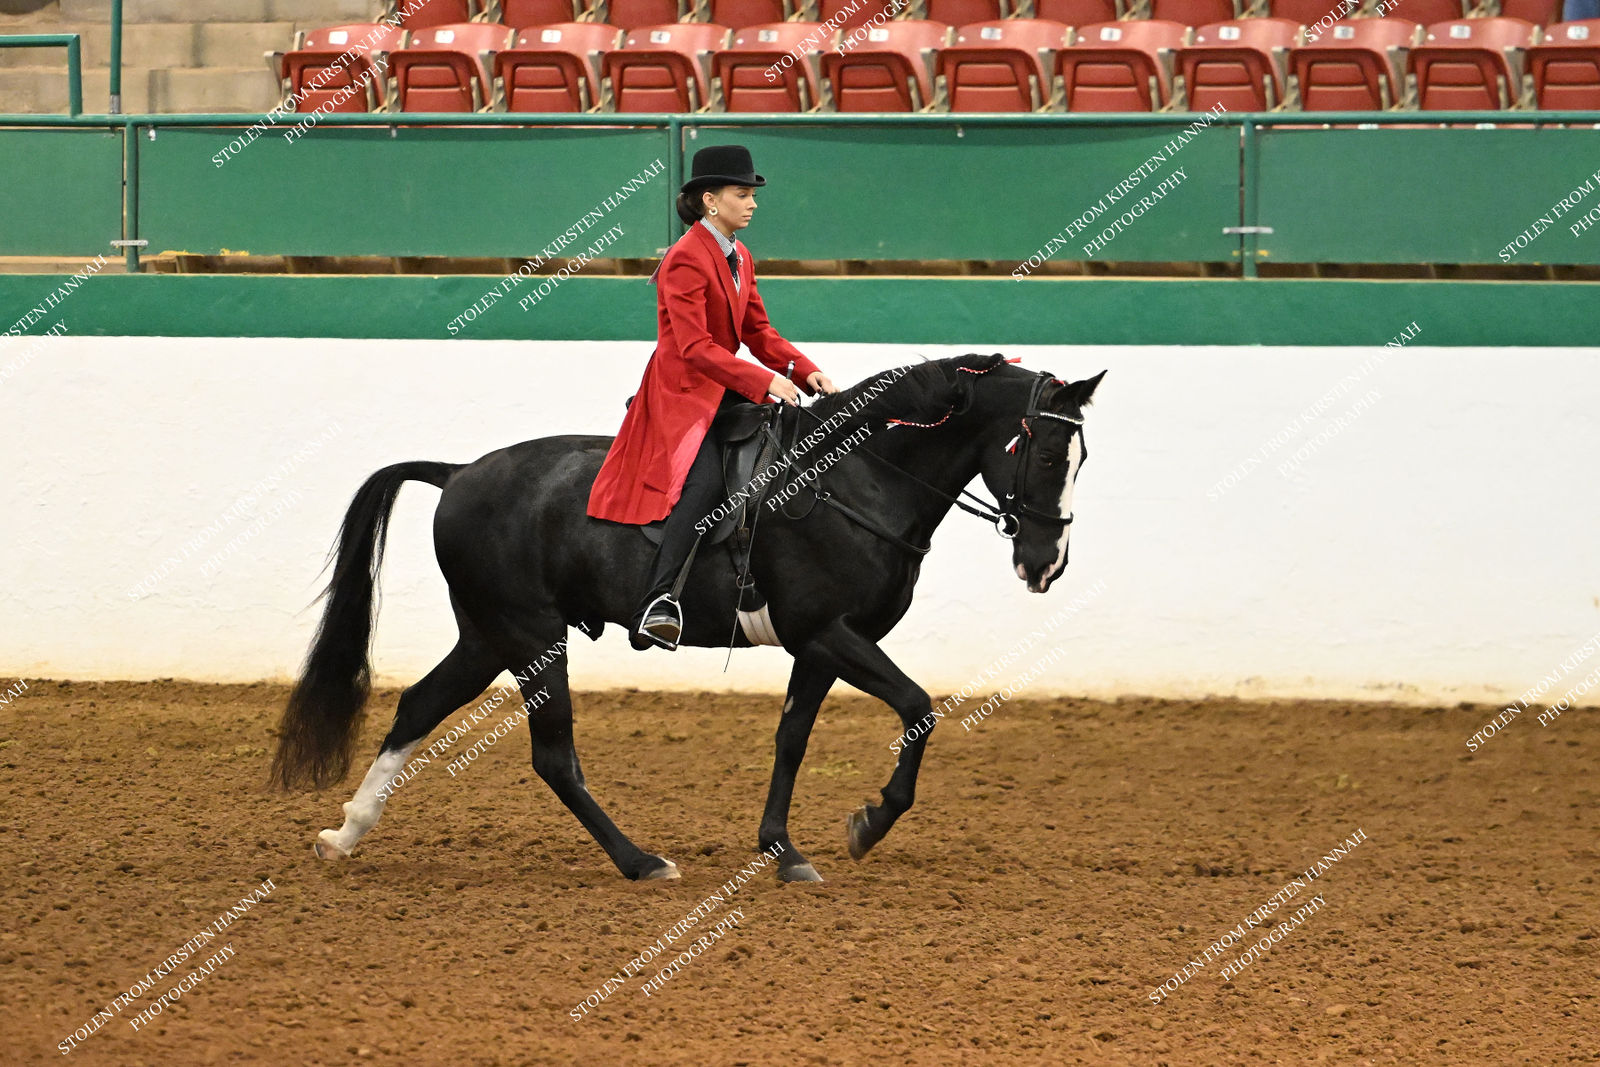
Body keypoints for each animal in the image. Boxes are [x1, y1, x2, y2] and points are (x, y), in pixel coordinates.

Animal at [269, 352, 1104, 883]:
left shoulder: (818, 646)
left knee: (416, 707)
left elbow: (792, 740)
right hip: (531, 637)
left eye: (1080, 459)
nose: (1046, 563)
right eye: (1044, 454)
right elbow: (920, 707)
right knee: (553, 757)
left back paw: (344, 833)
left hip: (488, 635)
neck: (854, 479)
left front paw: (781, 849)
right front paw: (870, 823)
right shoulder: (829, 631)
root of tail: (460, 472)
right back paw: (640, 861)